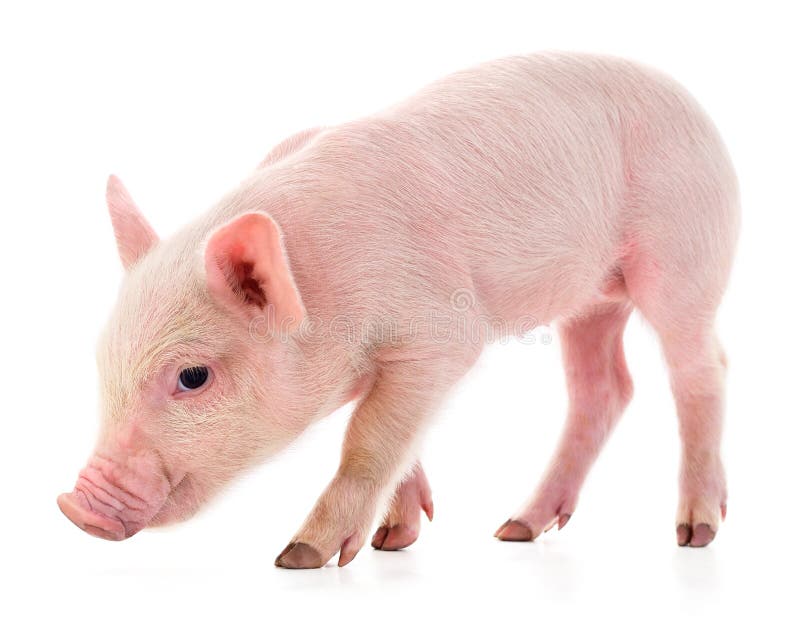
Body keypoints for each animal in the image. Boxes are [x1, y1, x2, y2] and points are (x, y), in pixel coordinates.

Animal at [58, 52, 739, 568]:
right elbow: (396, 432)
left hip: (684, 256)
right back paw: (515, 530)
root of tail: (697, 110)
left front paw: (300, 558)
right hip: (589, 299)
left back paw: (695, 533)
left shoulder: (441, 335)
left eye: (193, 376)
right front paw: (394, 542)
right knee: (606, 389)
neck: (322, 293)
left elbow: (368, 437)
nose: (76, 508)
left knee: (703, 369)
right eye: (100, 364)